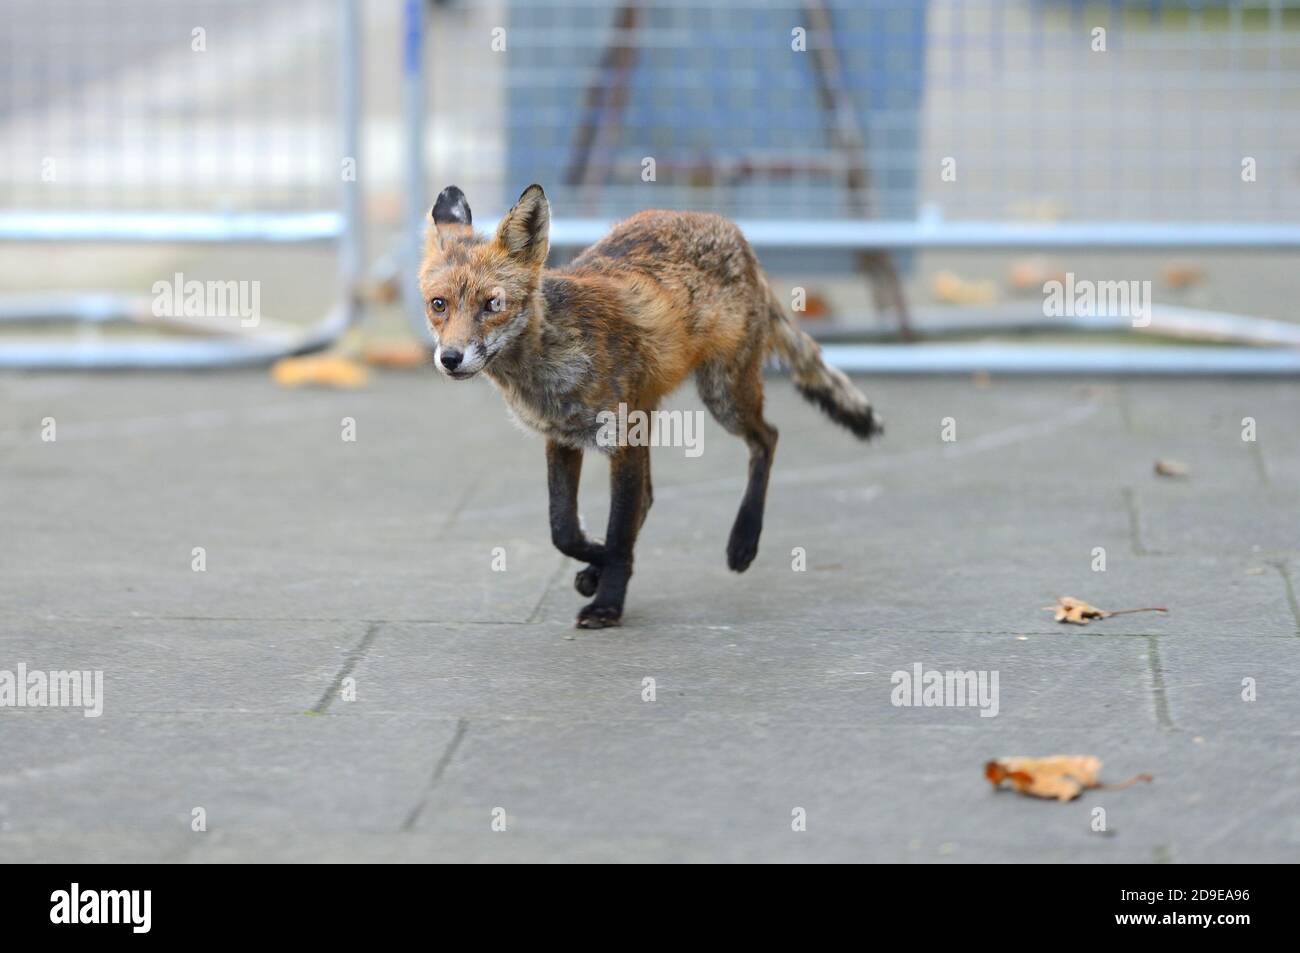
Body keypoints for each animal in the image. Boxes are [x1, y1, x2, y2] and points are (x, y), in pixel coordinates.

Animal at [420, 183, 882, 628]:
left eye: (492, 304)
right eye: (438, 305)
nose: (450, 358)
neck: (553, 358)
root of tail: (732, 231)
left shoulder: (624, 439)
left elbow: (618, 529)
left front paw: (608, 601)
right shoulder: (562, 439)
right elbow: (564, 529)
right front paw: (598, 564)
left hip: (724, 394)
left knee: (767, 438)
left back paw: (744, 540)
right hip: (666, 408)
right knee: (651, 495)